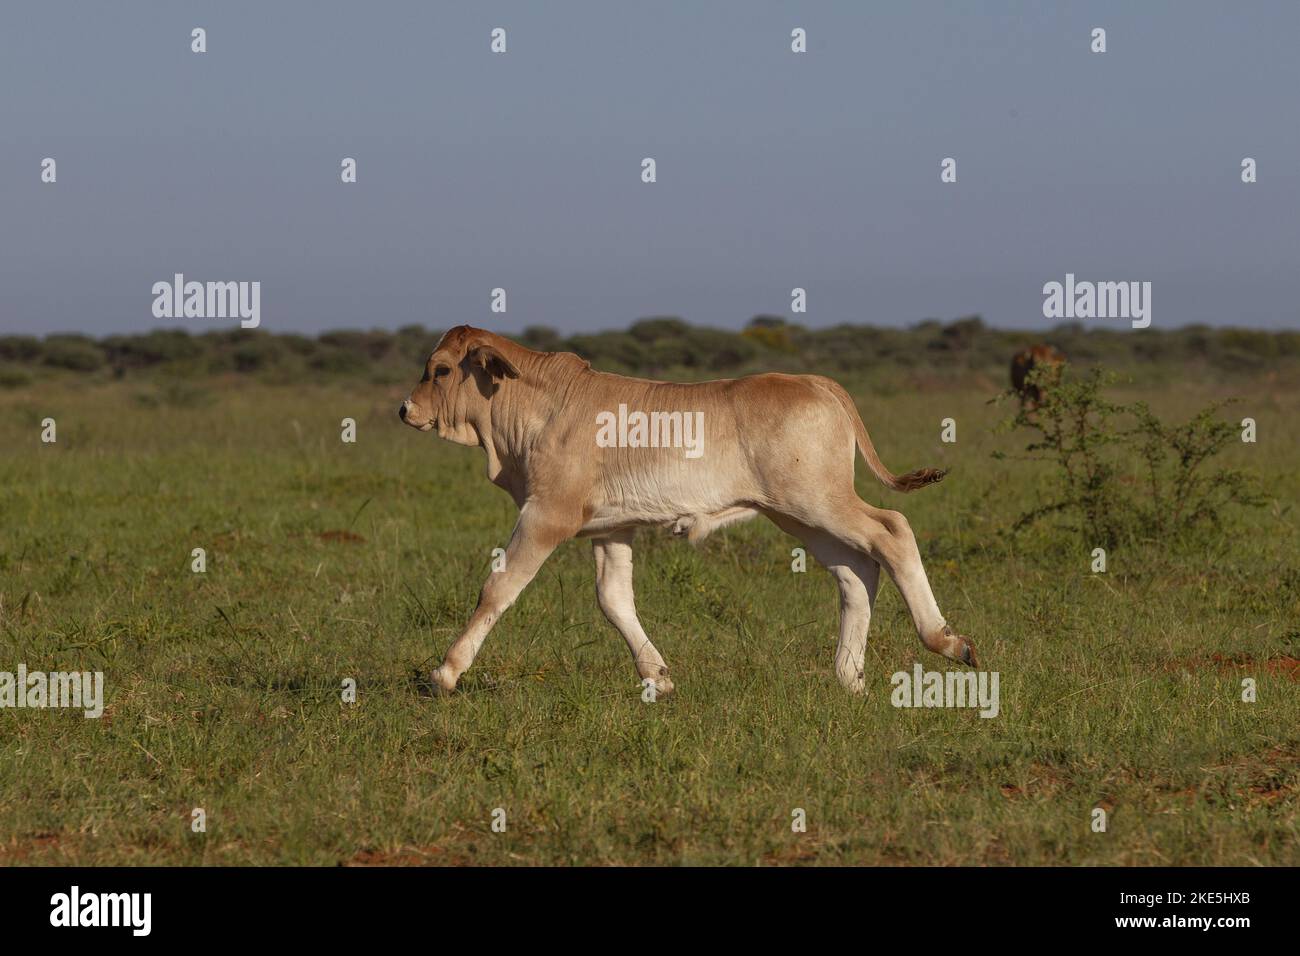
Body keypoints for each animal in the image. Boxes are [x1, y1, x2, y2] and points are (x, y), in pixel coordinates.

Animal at [399, 325, 977, 697]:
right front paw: (657, 677)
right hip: (800, 517)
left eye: (441, 370)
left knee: (892, 531)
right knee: (856, 571)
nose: (405, 409)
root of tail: (815, 380)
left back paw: (946, 641)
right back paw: (849, 678)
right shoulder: (612, 528)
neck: (538, 407)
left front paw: (446, 672)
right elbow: (614, 600)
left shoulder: (547, 515)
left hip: (820, 502)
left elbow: (499, 586)